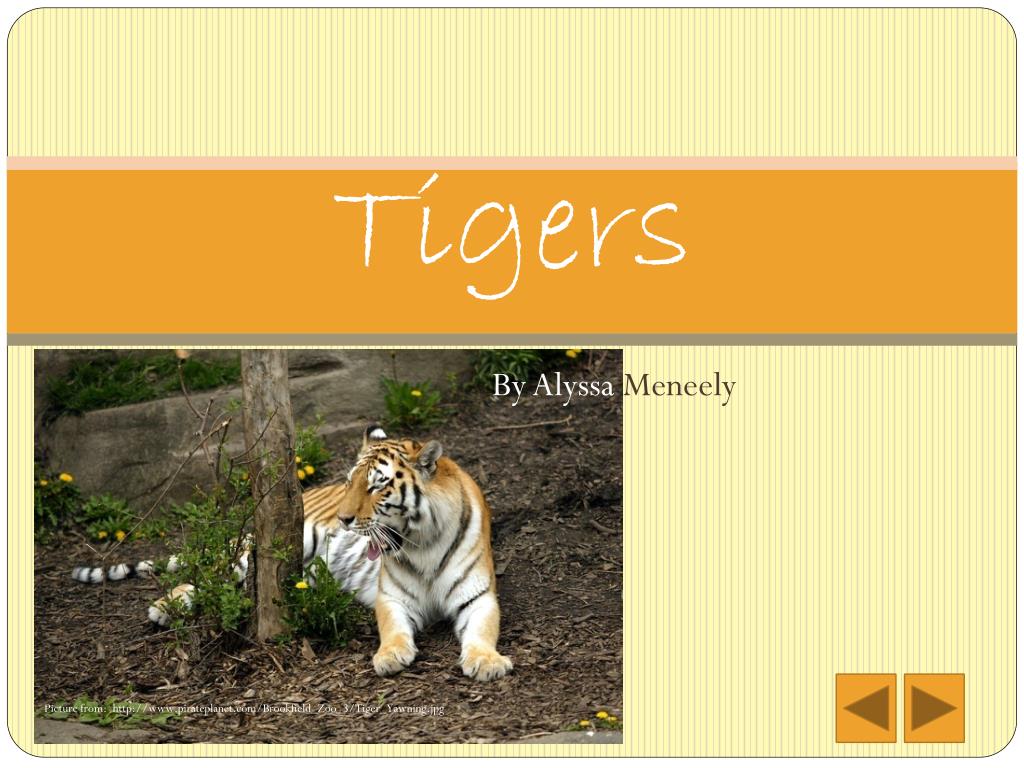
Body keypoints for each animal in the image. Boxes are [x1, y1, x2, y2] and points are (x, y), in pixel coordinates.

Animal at [70, 424, 512, 682]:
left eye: (377, 485)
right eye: (351, 482)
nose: (344, 519)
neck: (422, 542)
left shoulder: (479, 597)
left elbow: (482, 630)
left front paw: (487, 661)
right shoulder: (392, 598)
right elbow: (393, 628)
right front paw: (390, 655)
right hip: (281, 543)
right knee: (215, 575)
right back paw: (165, 607)